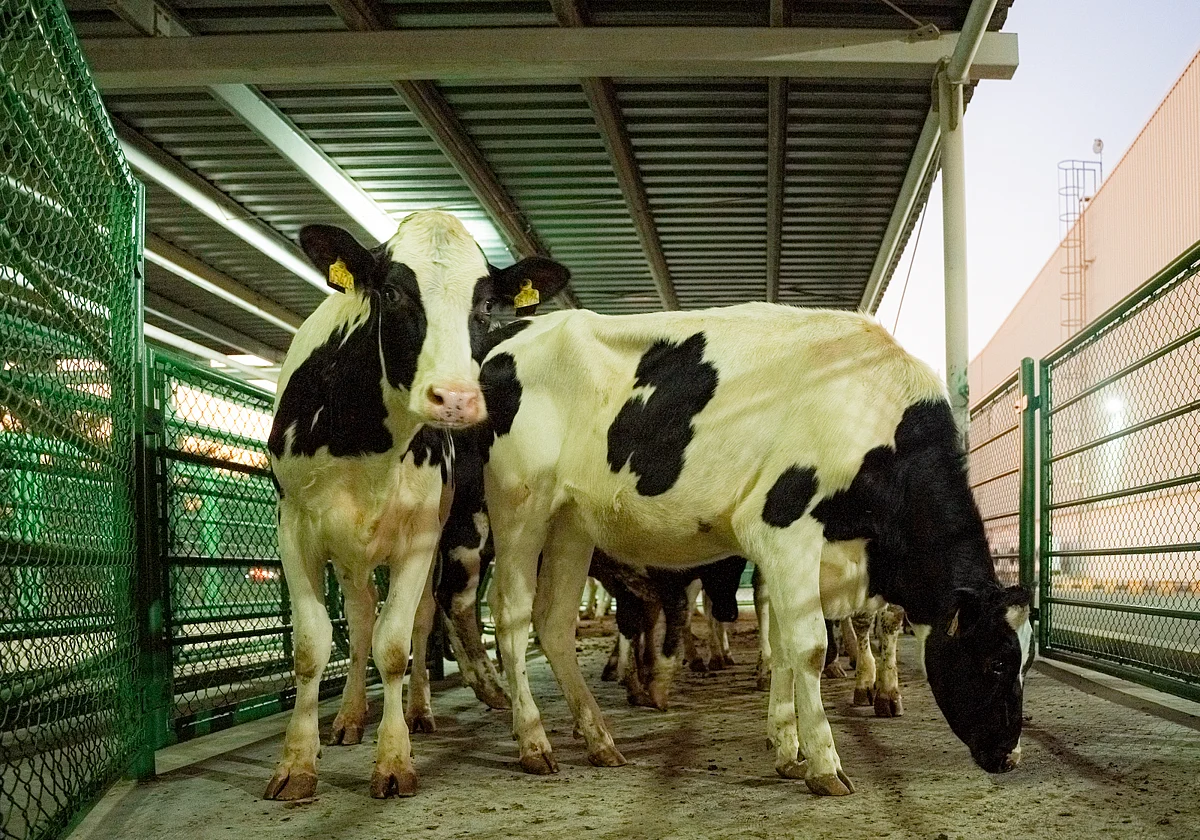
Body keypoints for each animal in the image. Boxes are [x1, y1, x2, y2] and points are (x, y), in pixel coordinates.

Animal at [265, 211, 567, 800]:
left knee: (418, 624)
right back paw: (349, 717)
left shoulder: (421, 538)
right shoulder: (295, 528)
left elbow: (394, 645)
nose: (455, 399)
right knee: (359, 619)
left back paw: (420, 711)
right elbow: (313, 646)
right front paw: (296, 761)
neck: (366, 442)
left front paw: (393, 758)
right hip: (353, 553)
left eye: (486, 305)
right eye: (392, 292)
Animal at [478, 304, 1033, 795]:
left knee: (553, 622)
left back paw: (599, 741)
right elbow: (811, 648)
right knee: (511, 615)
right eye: (997, 662)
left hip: (571, 522)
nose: (1010, 757)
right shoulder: (784, 529)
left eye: (1025, 663)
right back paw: (533, 742)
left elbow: (787, 646)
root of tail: (511, 332)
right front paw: (825, 765)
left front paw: (789, 752)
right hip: (519, 507)